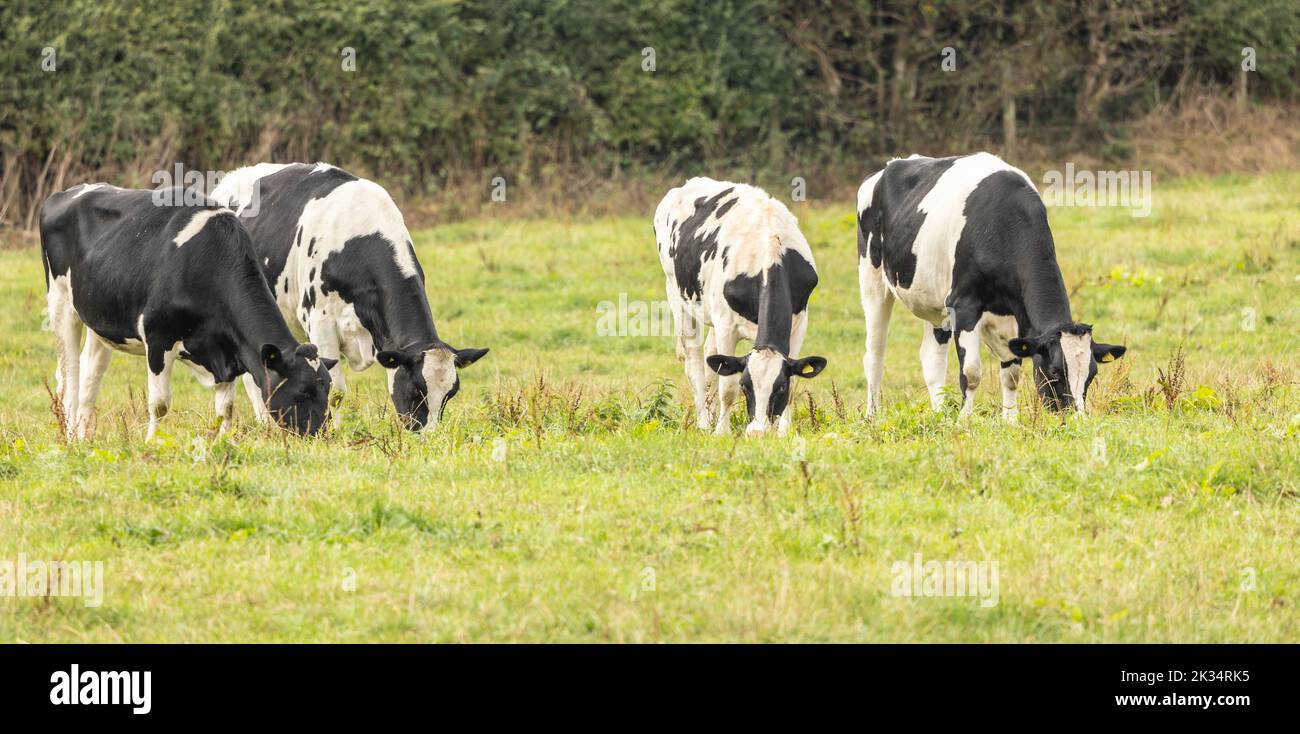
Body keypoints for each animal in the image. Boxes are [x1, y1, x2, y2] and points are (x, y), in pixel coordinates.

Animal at [39, 183, 335, 440]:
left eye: (328, 388)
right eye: (303, 391)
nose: (322, 435)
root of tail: (68, 192)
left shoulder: (226, 350)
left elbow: (225, 408)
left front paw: (221, 442)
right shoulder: (158, 338)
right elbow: (159, 404)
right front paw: (152, 443)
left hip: (100, 318)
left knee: (90, 376)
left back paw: (83, 438)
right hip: (60, 302)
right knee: (69, 378)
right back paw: (70, 438)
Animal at [655, 177, 827, 437]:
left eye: (780, 387)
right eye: (745, 386)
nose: (757, 432)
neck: (771, 252)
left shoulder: (799, 323)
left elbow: (796, 380)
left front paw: (784, 432)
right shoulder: (726, 325)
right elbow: (727, 386)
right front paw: (722, 432)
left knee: (710, 357)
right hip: (677, 295)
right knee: (694, 361)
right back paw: (704, 421)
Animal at [856, 152, 1127, 420]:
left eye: (1092, 375)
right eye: (1054, 372)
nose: (1075, 419)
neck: (1005, 223)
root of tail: (889, 166)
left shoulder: (1014, 315)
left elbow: (1012, 373)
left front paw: (1010, 422)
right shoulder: (964, 304)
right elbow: (971, 372)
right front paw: (964, 420)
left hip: (934, 300)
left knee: (932, 357)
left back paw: (940, 413)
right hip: (872, 280)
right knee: (874, 355)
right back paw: (872, 415)